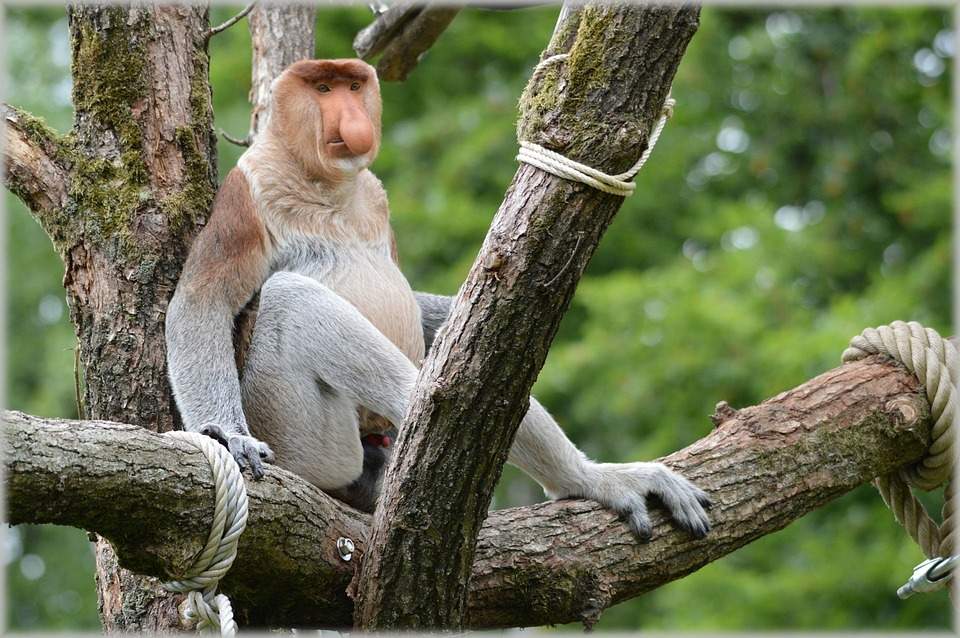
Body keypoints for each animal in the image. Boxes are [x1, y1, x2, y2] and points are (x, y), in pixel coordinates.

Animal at [165, 58, 711, 540]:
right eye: (322, 89)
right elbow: (201, 303)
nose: (352, 116)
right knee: (293, 300)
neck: (328, 185)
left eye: (353, 86)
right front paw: (230, 436)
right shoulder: (247, 191)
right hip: (298, 436)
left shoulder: (376, 196)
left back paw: (586, 476)